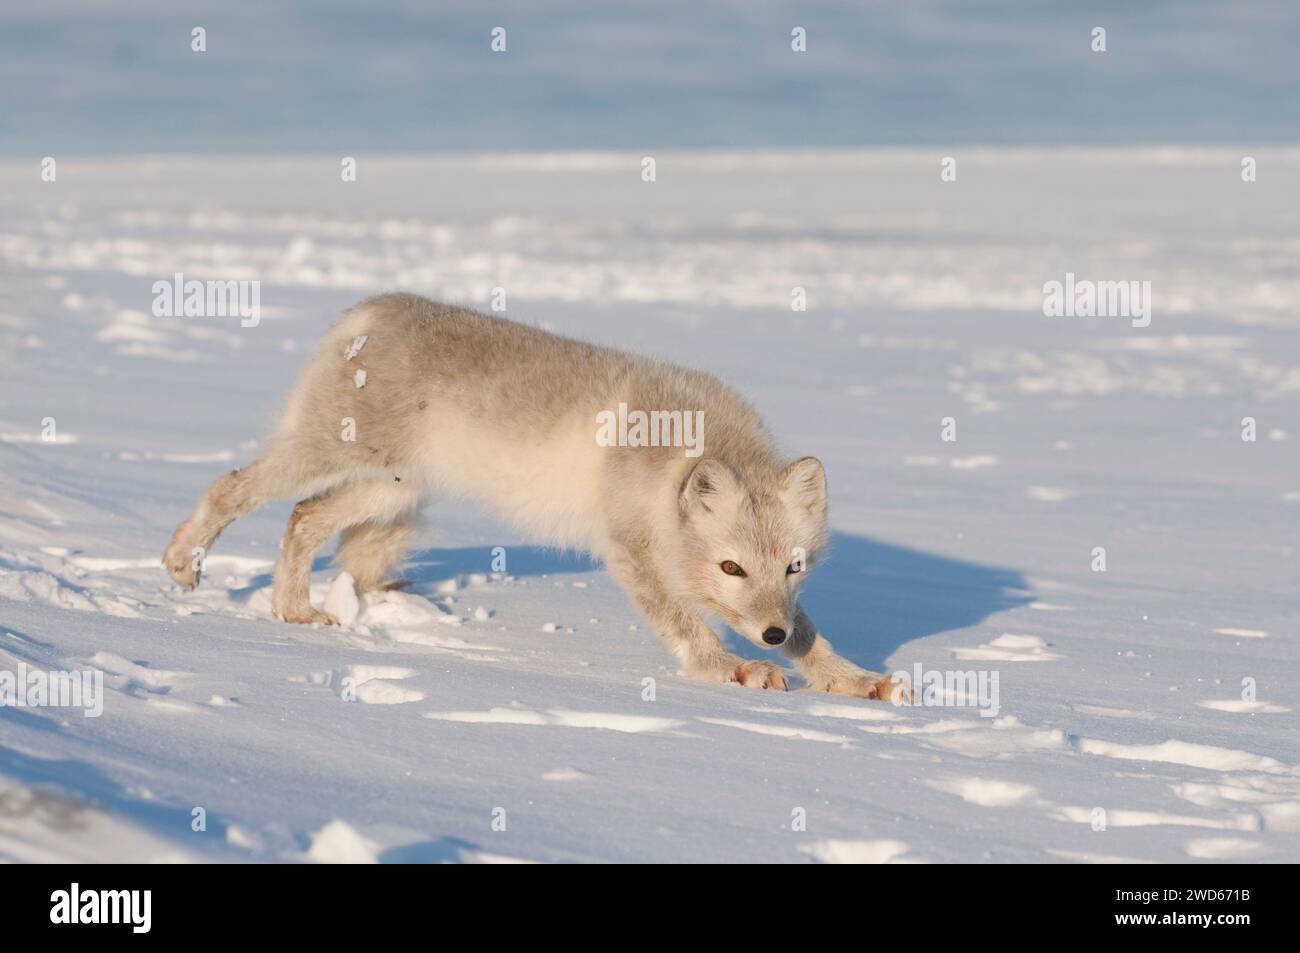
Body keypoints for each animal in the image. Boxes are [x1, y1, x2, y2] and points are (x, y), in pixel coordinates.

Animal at [163, 293, 901, 701]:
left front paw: (854, 679)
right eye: (731, 567)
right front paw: (731, 668)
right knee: (233, 487)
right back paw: (184, 563)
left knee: (302, 517)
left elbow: (813, 636)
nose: (768, 632)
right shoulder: (627, 547)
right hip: (329, 457)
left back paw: (294, 612)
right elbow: (683, 624)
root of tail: (369, 308)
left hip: (385, 484)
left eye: (793, 567)